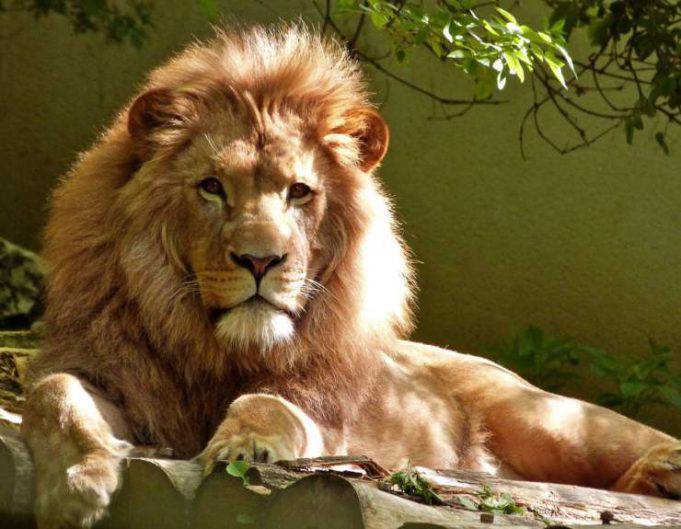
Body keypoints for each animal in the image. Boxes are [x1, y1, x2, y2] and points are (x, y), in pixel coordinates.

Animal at [22, 24, 680, 529]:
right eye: (212, 187)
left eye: (299, 192)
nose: (260, 261)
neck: (218, 350)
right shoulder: (109, 369)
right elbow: (53, 393)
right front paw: (77, 481)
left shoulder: (325, 417)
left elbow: (270, 404)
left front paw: (243, 444)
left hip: (546, 419)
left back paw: (662, 470)